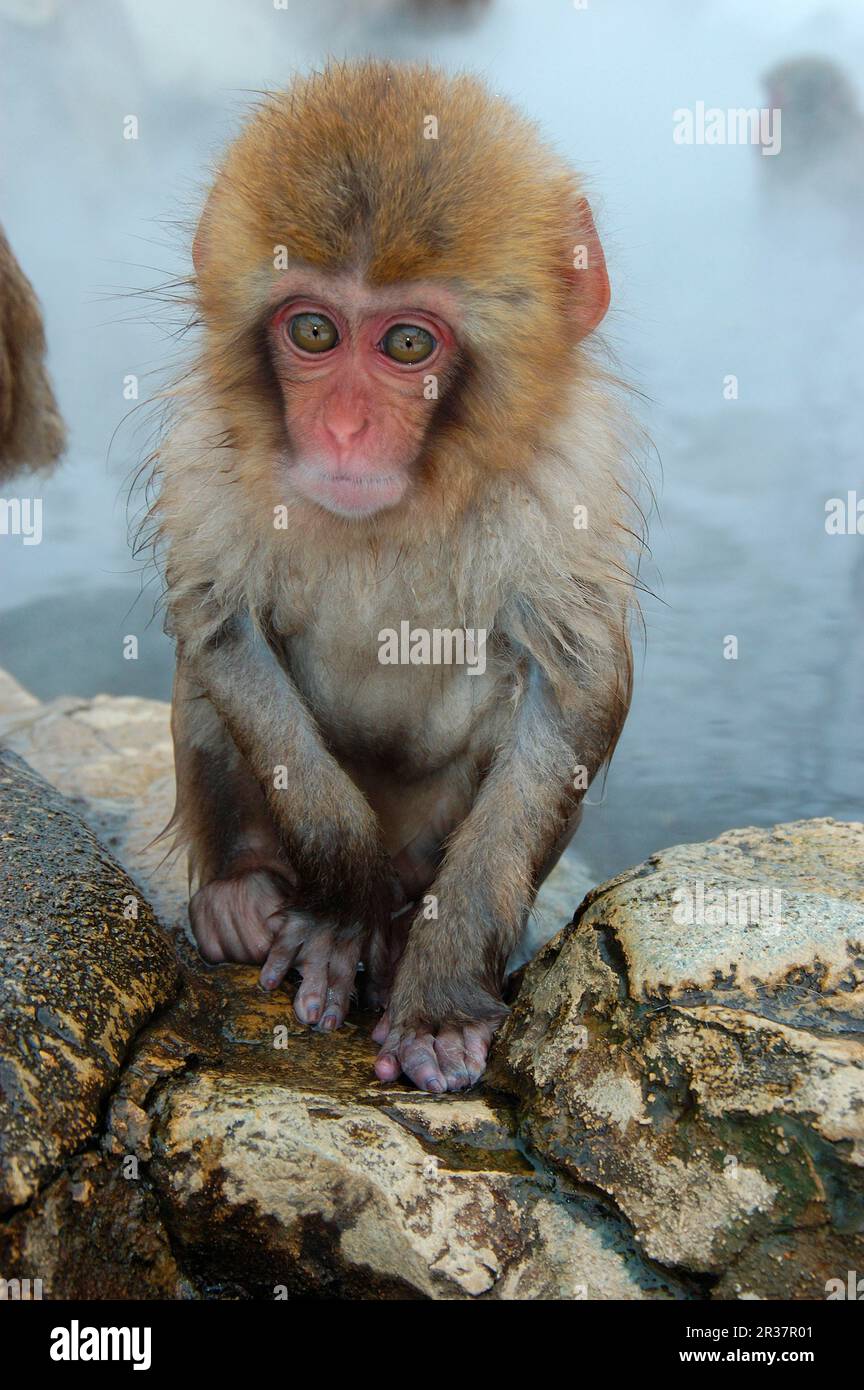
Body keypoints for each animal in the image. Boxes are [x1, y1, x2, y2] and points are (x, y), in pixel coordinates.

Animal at [154, 61, 639, 1093]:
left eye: (408, 345)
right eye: (312, 330)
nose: (341, 431)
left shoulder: (564, 484)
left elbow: (570, 691)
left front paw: (441, 993)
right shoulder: (207, 452)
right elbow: (221, 622)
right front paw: (343, 911)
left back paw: (411, 909)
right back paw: (243, 890)